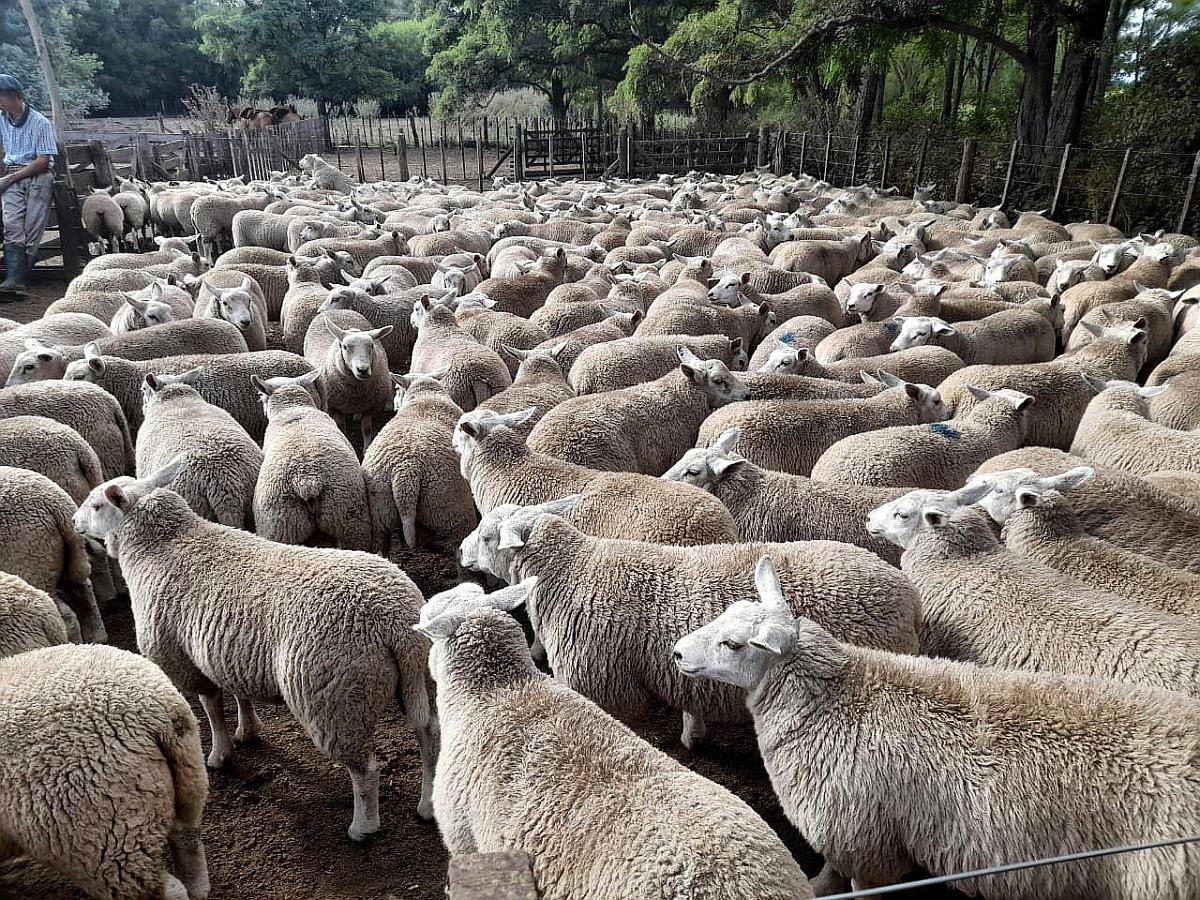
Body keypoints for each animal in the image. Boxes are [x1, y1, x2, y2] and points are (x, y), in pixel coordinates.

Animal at [0, 466, 104, 643]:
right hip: (70, 558)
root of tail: (58, 505)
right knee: (84, 590)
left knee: (65, 615)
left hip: (29, 564)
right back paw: (97, 638)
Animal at [73, 458, 437, 841]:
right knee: (430, 734)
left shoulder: (184, 661)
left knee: (365, 768)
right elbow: (238, 694)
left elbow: (211, 709)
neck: (164, 546)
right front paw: (247, 730)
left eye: (97, 505)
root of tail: (394, 619)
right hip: (418, 678)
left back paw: (363, 826)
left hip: (335, 699)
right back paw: (427, 805)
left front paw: (220, 754)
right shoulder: (224, 651)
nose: (73, 520)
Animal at [362, 373, 476, 555]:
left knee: (382, 543)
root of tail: (405, 473)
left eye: (396, 389)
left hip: (381, 512)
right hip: (449, 509)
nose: (393, 405)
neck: (425, 396)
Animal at [483, 510, 919, 748]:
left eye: (488, 537)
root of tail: (907, 594)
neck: (570, 570)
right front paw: (692, 735)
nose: (465, 555)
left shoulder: (605, 686)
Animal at [672, 555, 1200, 899]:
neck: (836, 700)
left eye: (733, 644)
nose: (677, 653)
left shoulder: (864, 839)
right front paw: (815, 886)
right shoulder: (845, 832)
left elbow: (854, 883)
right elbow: (828, 871)